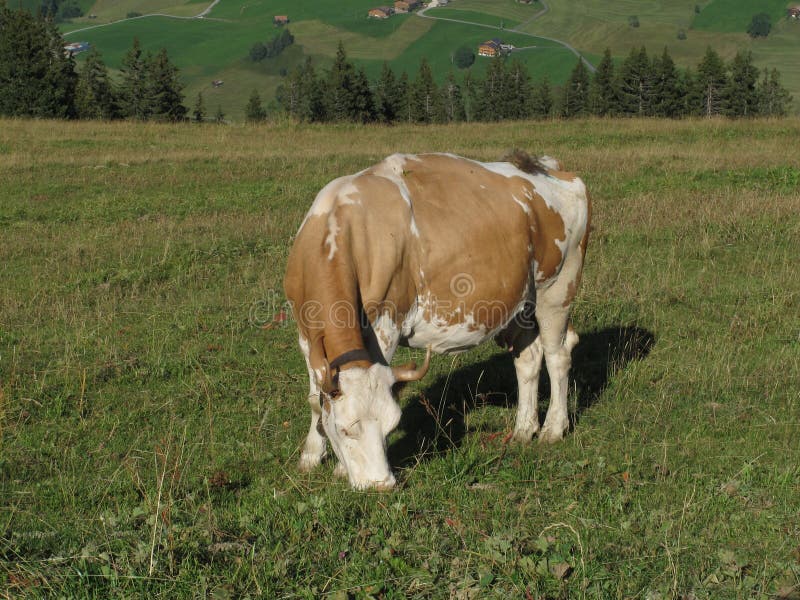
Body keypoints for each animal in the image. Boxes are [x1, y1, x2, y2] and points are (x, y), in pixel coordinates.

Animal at [283, 150, 591, 490]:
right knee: (529, 358)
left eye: (391, 427)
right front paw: (311, 456)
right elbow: (315, 398)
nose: (382, 485)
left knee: (558, 355)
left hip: (558, 288)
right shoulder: (306, 335)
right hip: (521, 301)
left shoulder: (385, 326)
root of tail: (548, 167)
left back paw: (553, 428)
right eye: (346, 428)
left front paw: (338, 468)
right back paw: (524, 429)